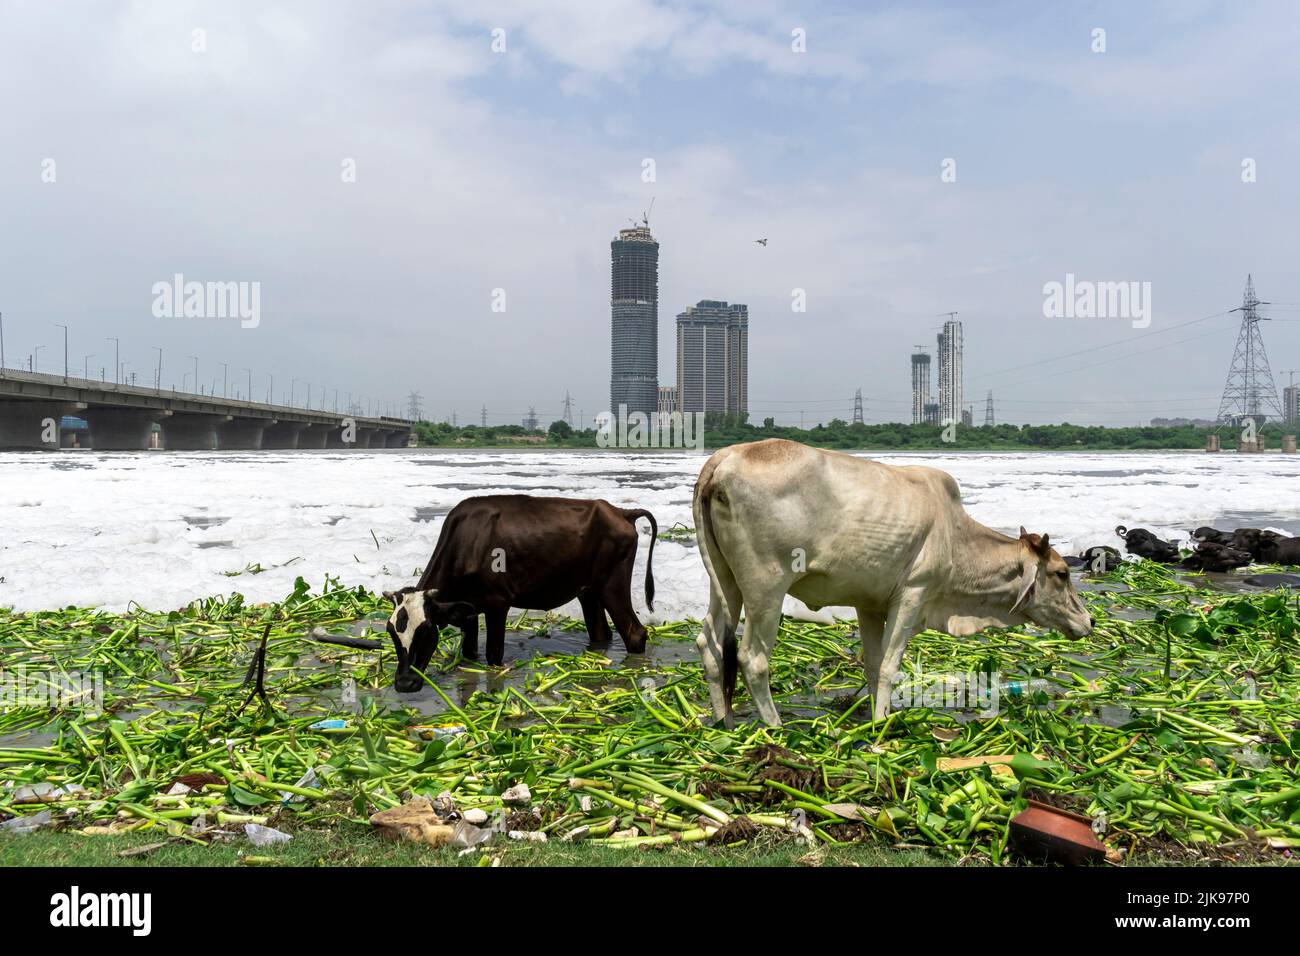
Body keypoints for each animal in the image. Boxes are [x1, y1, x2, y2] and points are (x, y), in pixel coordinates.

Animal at [382, 495, 657, 691]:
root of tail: (621, 511)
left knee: (635, 634)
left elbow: (494, 655)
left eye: (426, 631)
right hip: (588, 592)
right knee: (601, 634)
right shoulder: (468, 611)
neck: (467, 543)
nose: (404, 683)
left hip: (612, 585)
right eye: (392, 634)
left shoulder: (497, 605)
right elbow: (470, 653)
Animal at [692, 439, 1092, 727]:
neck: (956, 536)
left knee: (710, 643)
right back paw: (774, 728)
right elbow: (889, 666)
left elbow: (872, 664)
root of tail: (725, 458)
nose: (1088, 621)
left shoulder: (869, 604)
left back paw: (723, 722)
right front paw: (883, 728)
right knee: (752, 658)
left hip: (725, 582)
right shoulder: (914, 592)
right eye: (1062, 573)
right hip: (766, 588)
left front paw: (875, 716)